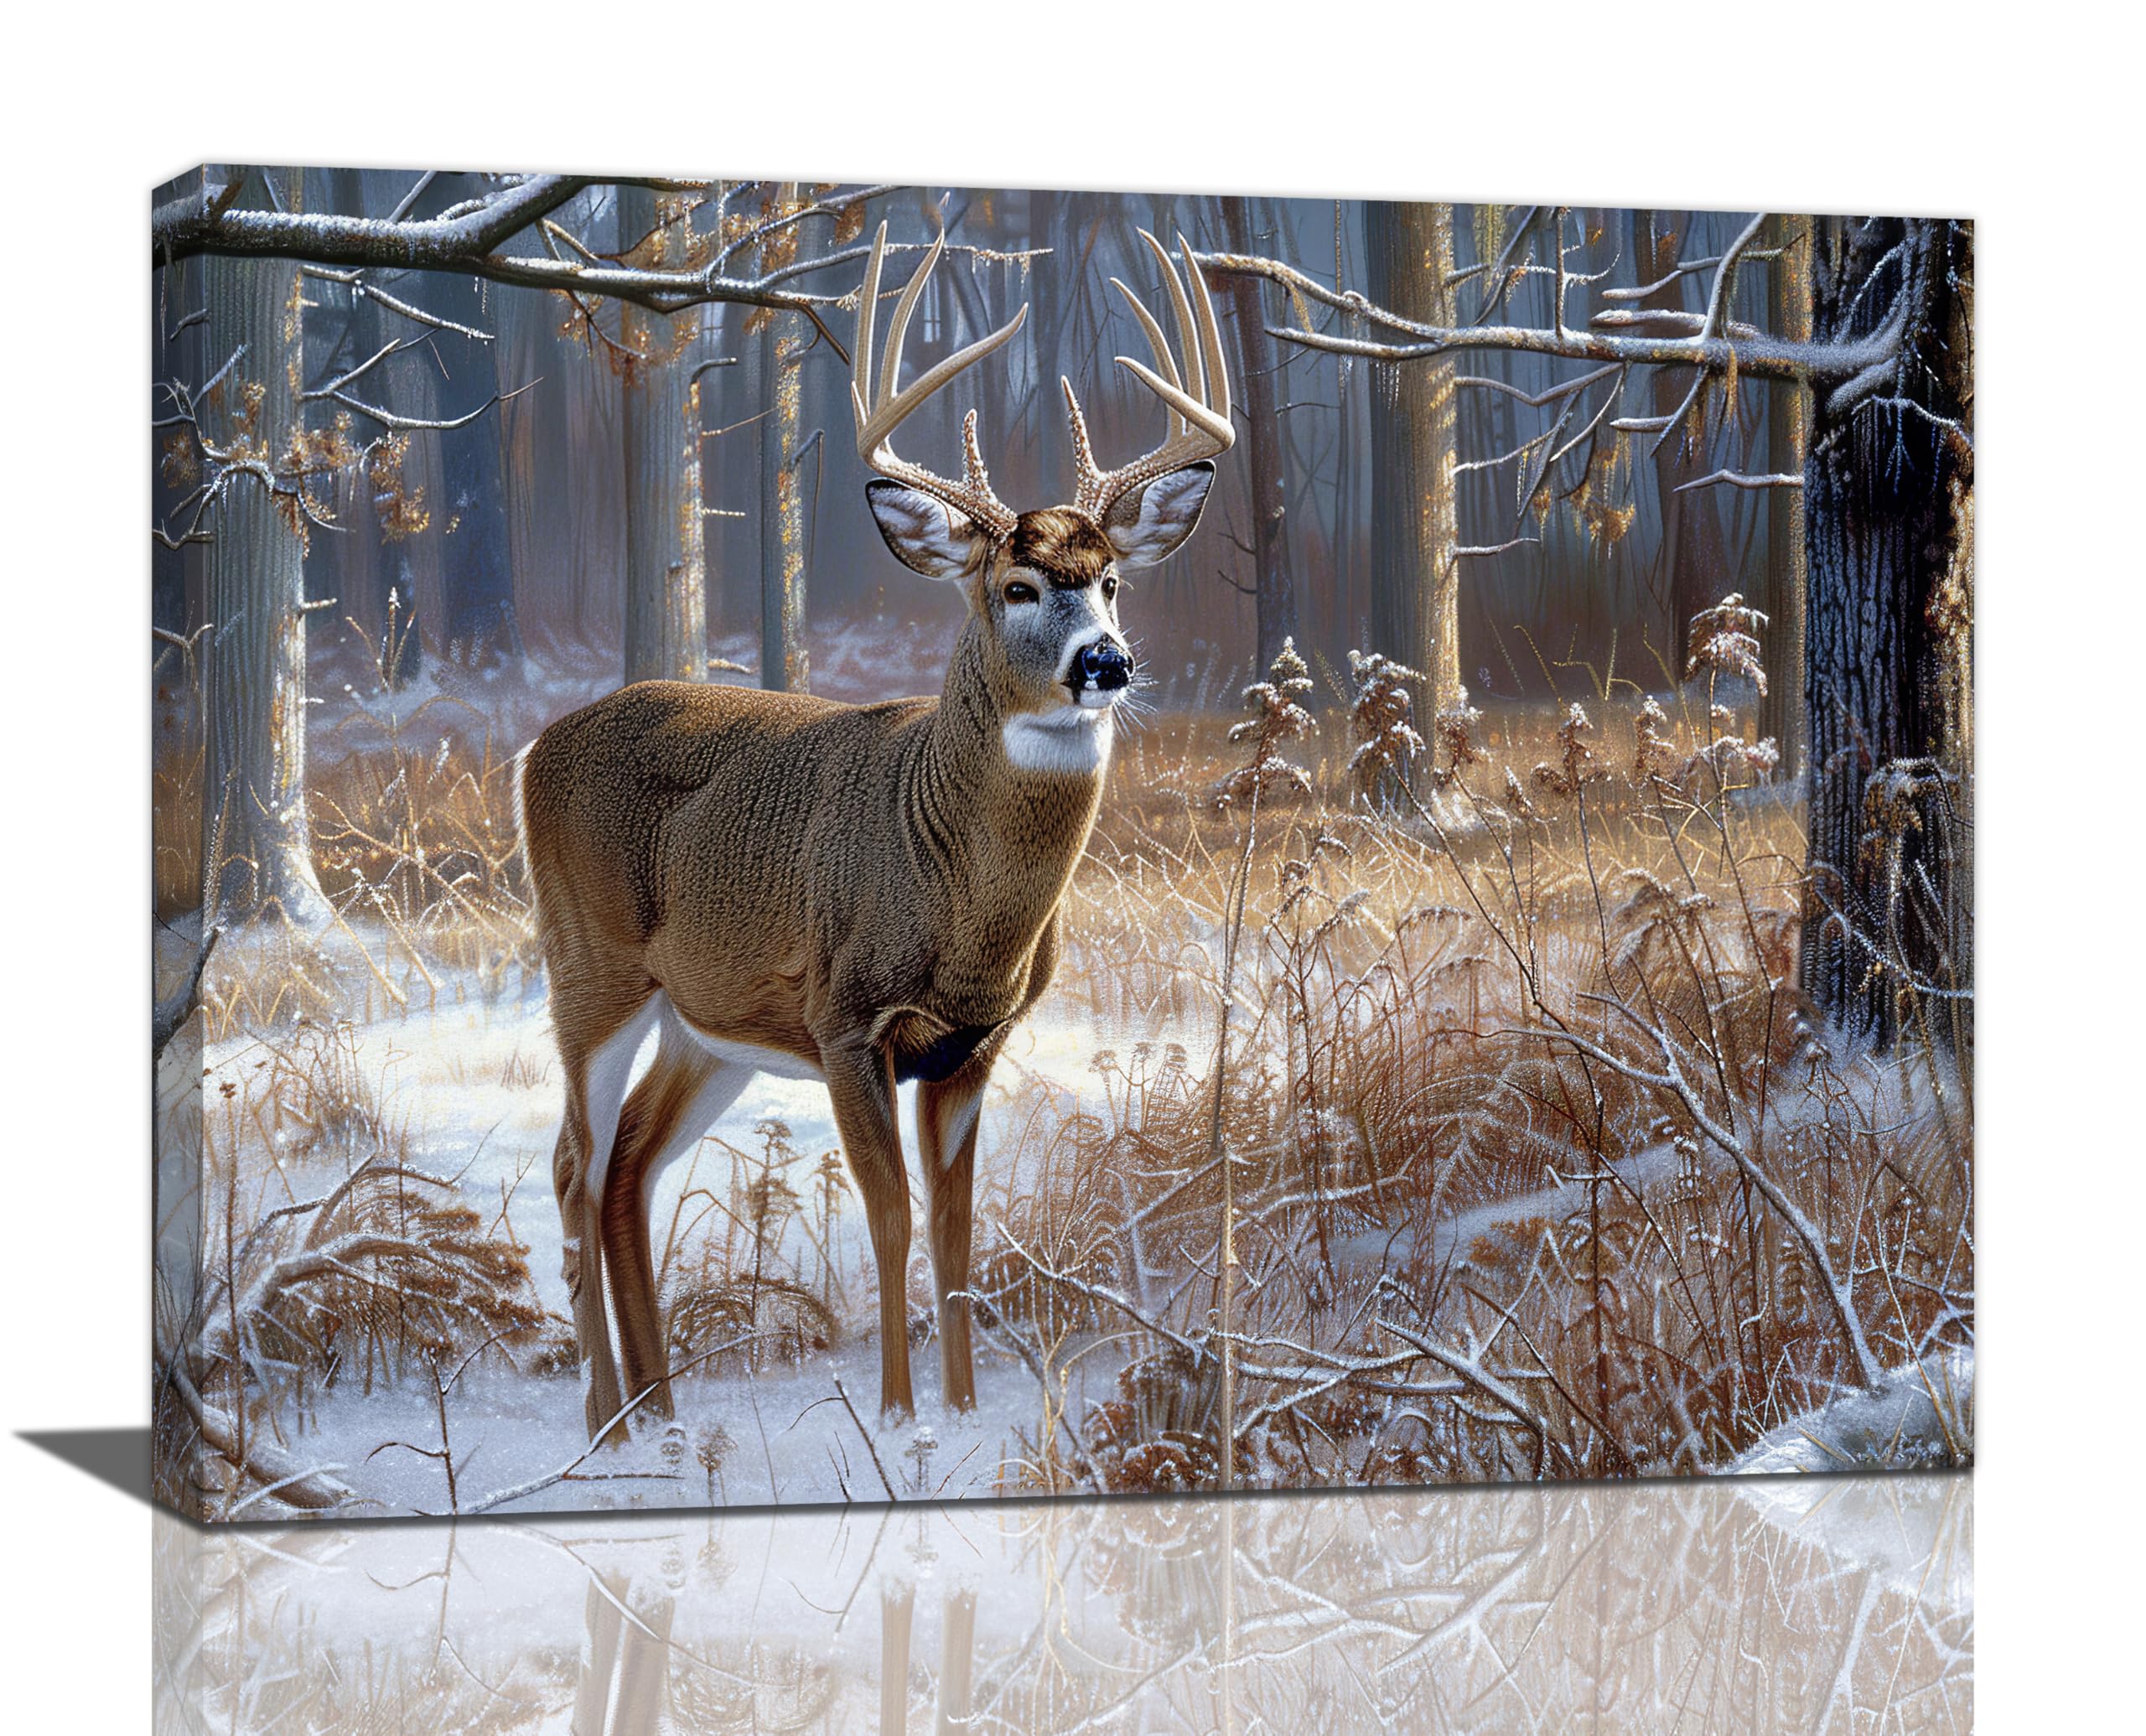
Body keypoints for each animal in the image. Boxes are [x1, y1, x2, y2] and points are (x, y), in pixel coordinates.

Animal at [520, 220, 1234, 1442]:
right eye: (1017, 585)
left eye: (1113, 580)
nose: (1107, 662)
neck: (958, 896)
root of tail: (528, 749)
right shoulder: (846, 1017)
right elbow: (891, 1218)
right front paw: (902, 1414)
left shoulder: (974, 1041)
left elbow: (954, 1231)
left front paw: (960, 1406)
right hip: (591, 968)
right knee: (572, 1165)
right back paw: (608, 1419)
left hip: (708, 1021)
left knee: (624, 1171)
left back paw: (662, 1413)